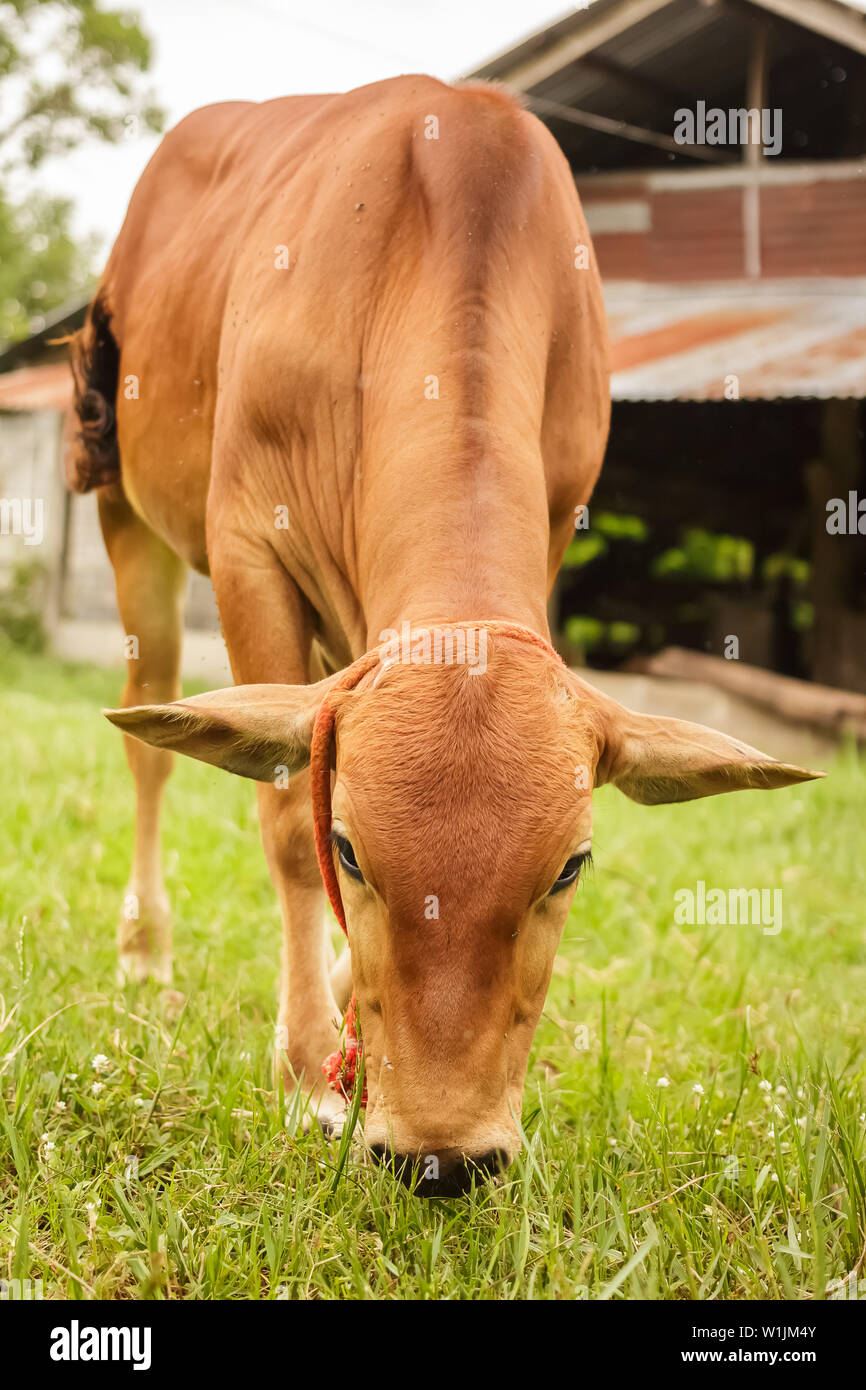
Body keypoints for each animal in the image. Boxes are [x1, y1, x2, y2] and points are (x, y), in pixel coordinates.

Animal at [68, 76, 820, 1196]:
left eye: (570, 867)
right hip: (127, 516)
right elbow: (283, 823)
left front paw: (344, 1017)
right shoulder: (248, 547)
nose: (442, 1156)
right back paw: (144, 947)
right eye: (350, 848)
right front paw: (309, 1070)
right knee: (146, 749)